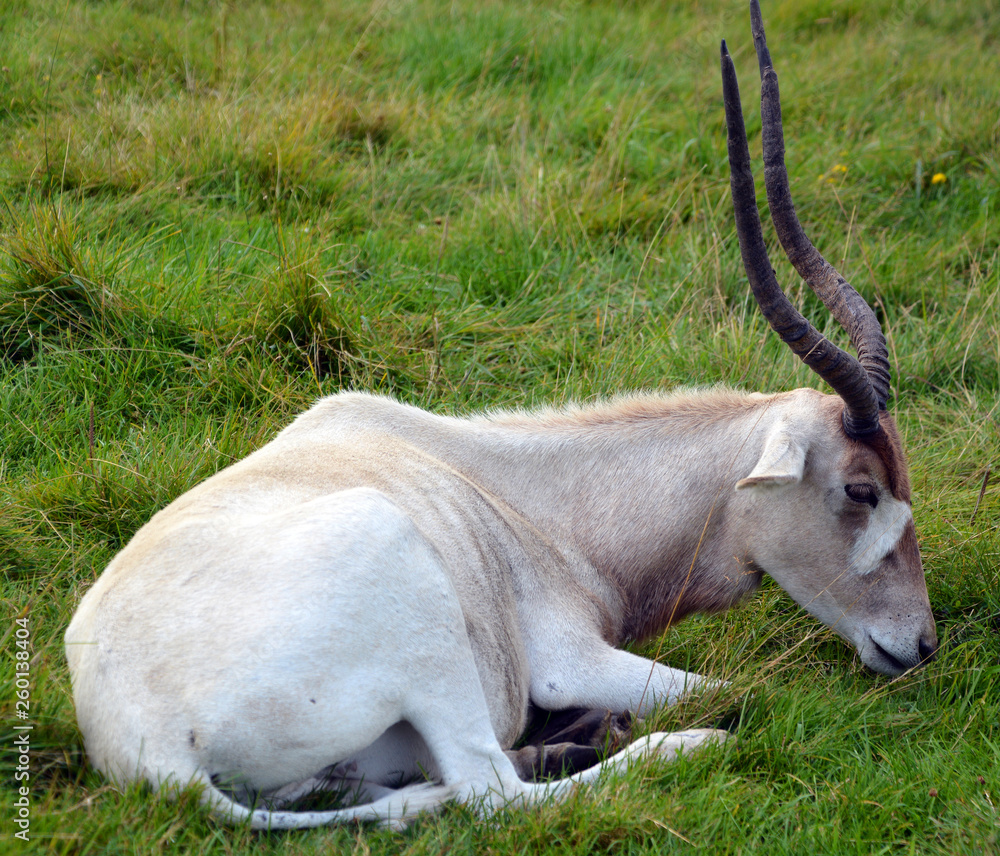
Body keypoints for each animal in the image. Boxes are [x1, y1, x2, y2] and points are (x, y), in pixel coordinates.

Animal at [65, 0, 936, 830]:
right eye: (860, 490)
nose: (921, 645)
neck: (544, 502)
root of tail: (150, 745)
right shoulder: (568, 660)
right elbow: (739, 686)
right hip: (412, 594)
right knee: (488, 790)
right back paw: (663, 745)